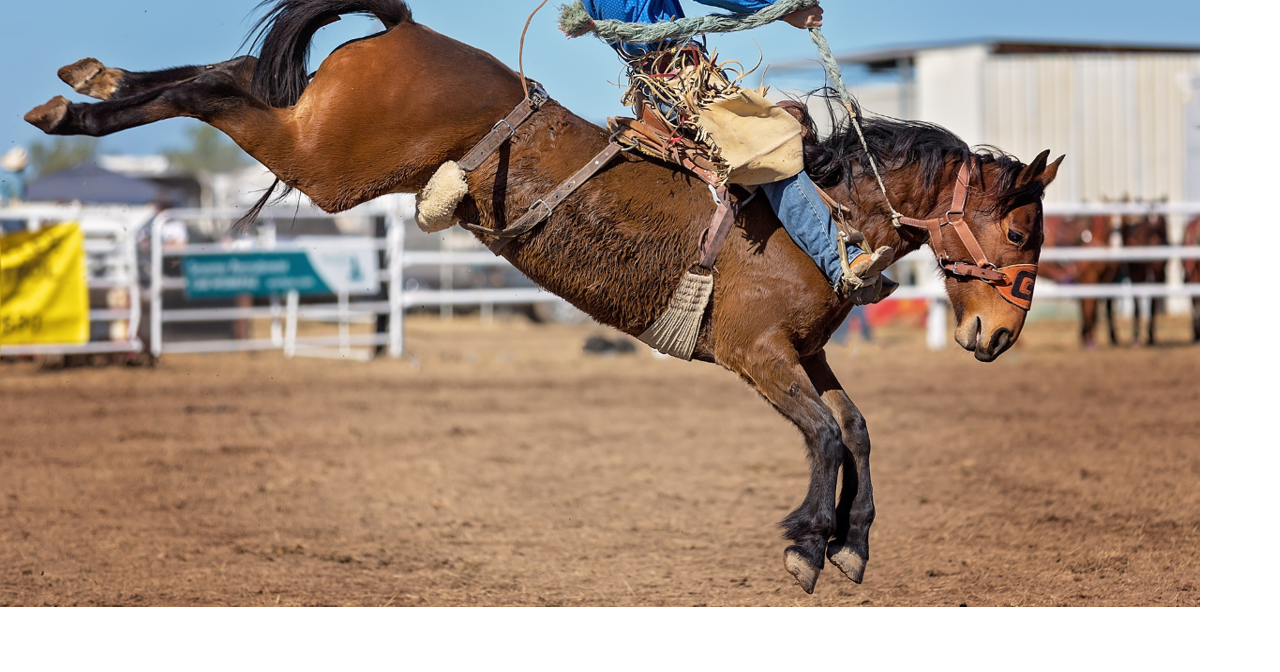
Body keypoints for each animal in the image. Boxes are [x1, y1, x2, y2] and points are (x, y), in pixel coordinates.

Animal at [25, 0, 1062, 593]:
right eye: (1022, 233)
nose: (997, 335)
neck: (827, 208)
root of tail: (407, 30)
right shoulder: (758, 356)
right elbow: (822, 436)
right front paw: (809, 544)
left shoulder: (804, 353)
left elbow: (856, 429)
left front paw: (853, 545)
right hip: (326, 163)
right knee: (218, 91)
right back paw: (77, 107)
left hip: (317, 134)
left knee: (238, 77)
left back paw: (86, 83)